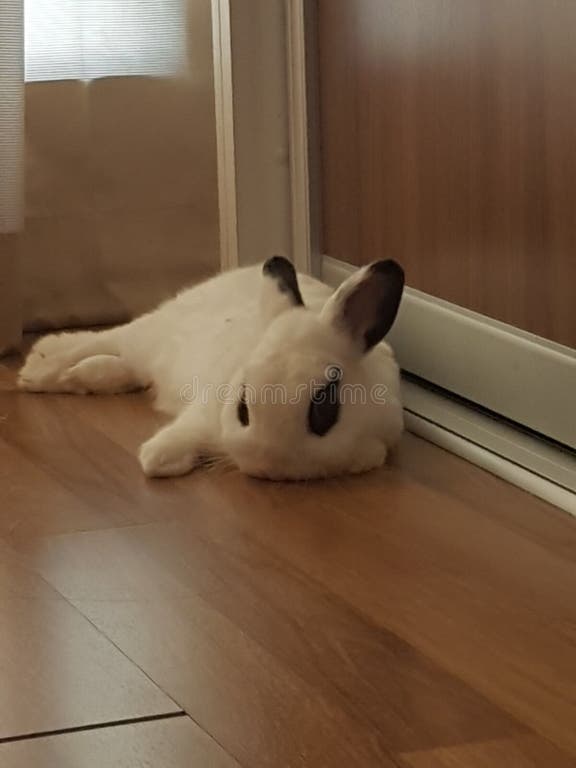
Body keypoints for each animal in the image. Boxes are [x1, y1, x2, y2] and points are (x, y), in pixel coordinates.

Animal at [18, 256, 405, 480]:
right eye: (242, 407)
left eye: (324, 409)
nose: (267, 466)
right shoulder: (206, 408)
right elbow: (178, 438)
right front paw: (160, 458)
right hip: (149, 334)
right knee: (106, 341)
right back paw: (37, 367)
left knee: (122, 367)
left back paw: (81, 373)